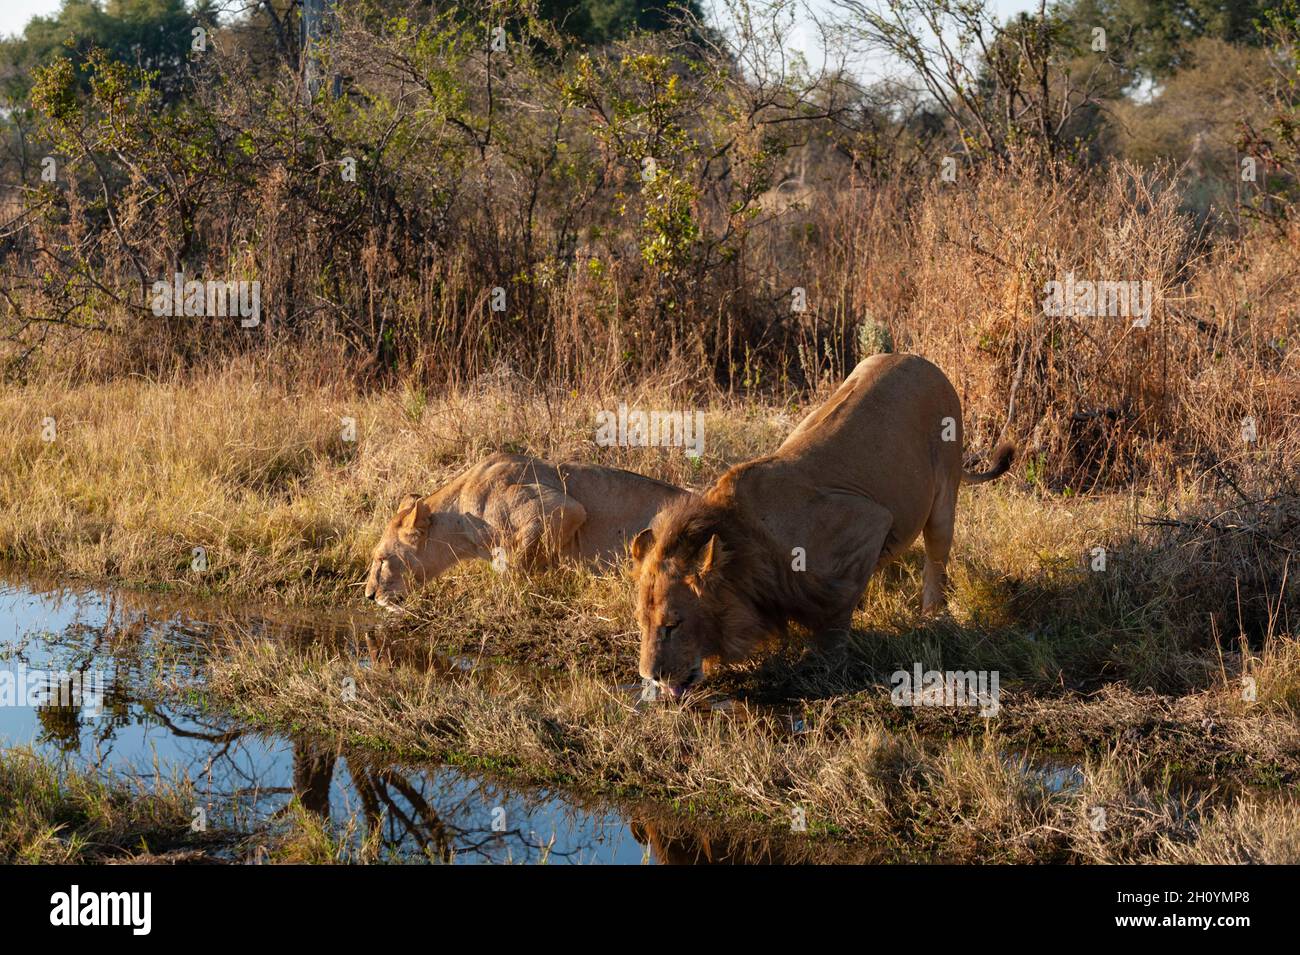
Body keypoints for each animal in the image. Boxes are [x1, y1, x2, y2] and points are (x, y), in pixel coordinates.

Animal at [631, 353, 1014, 698]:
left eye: (672, 626)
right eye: (641, 624)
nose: (649, 676)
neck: (747, 545)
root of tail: (925, 362)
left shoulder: (869, 522)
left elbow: (836, 614)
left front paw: (826, 664)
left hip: (943, 500)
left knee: (936, 564)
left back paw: (931, 618)